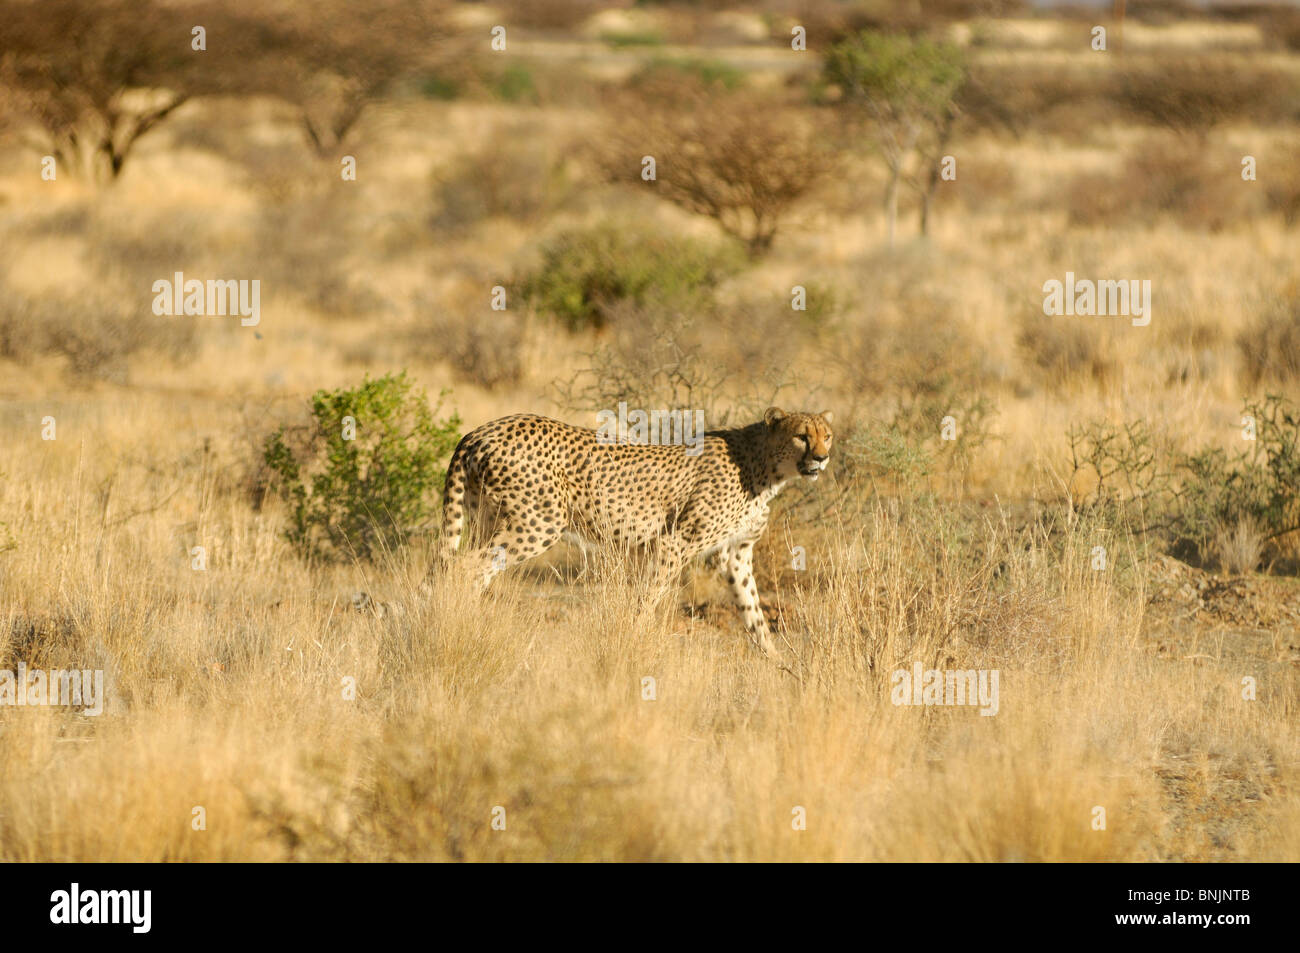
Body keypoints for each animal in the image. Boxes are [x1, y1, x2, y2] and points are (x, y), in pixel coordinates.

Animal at [438, 407, 833, 656]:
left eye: (827, 435)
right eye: (801, 436)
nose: (822, 457)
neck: (766, 466)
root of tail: (479, 430)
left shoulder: (735, 553)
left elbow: (753, 610)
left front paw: (776, 664)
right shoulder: (675, 542)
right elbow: (649, 597)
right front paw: (632, 637)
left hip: (488, 519)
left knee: (473, 569)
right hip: (537, 523)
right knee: (463, 567)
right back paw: (460, 622)